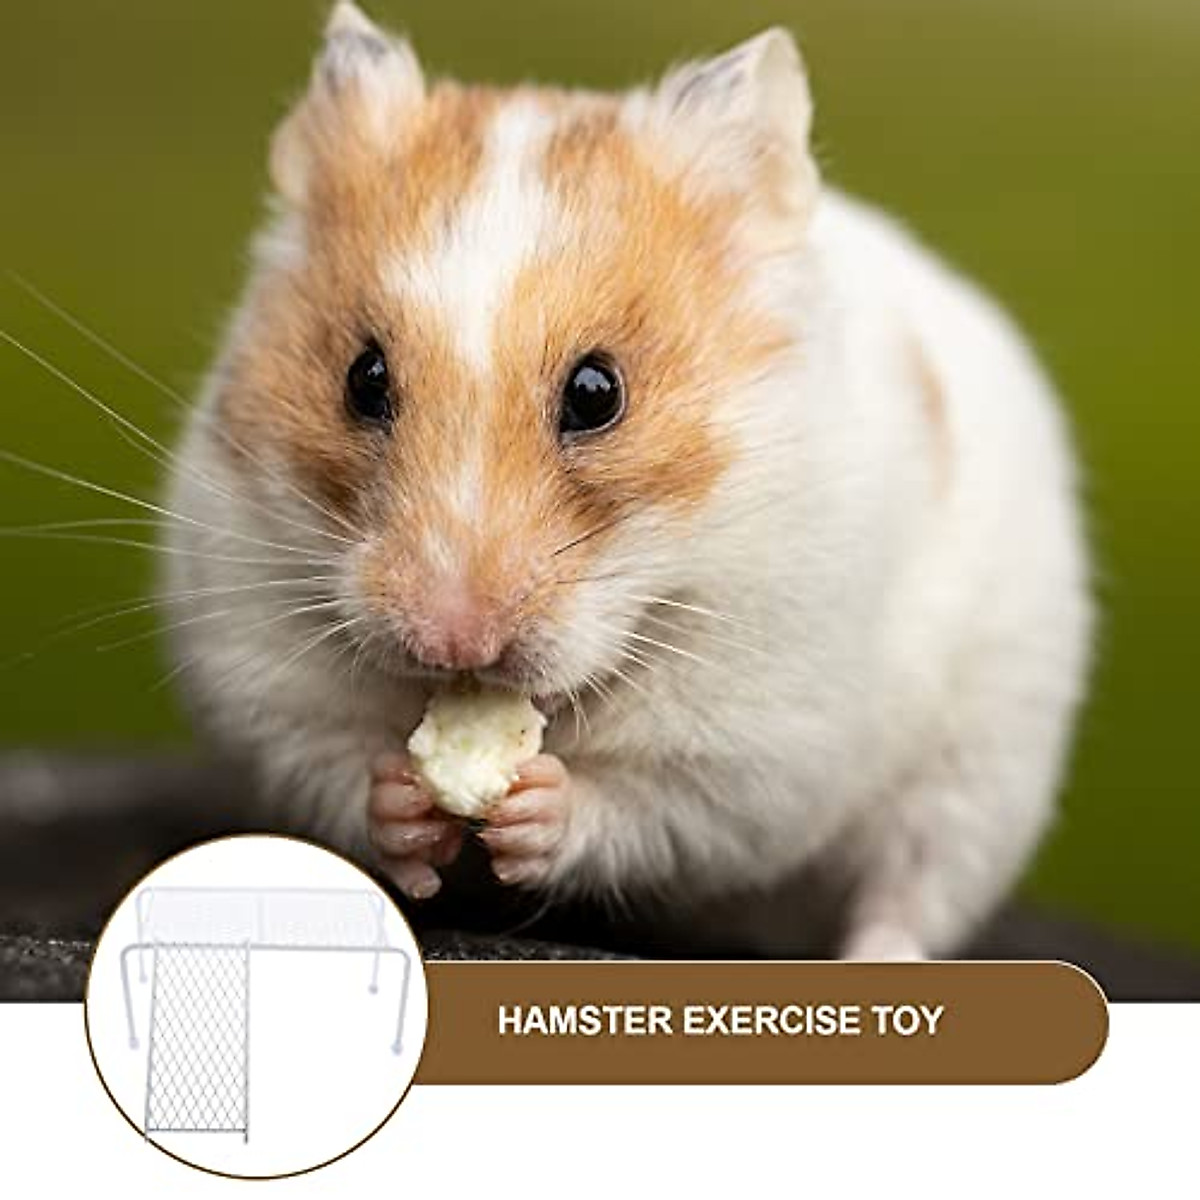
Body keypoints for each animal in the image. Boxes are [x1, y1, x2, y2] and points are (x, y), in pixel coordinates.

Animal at [161, 1, 1092, 959]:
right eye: (363, 378)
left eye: (597, 393)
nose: (452, 643)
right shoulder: (260, 667)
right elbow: (337, 764)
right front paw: (408, 806)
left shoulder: (755, 741)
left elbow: (646, 806)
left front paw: (536, 807)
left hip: (981, 773)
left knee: (909, 895)